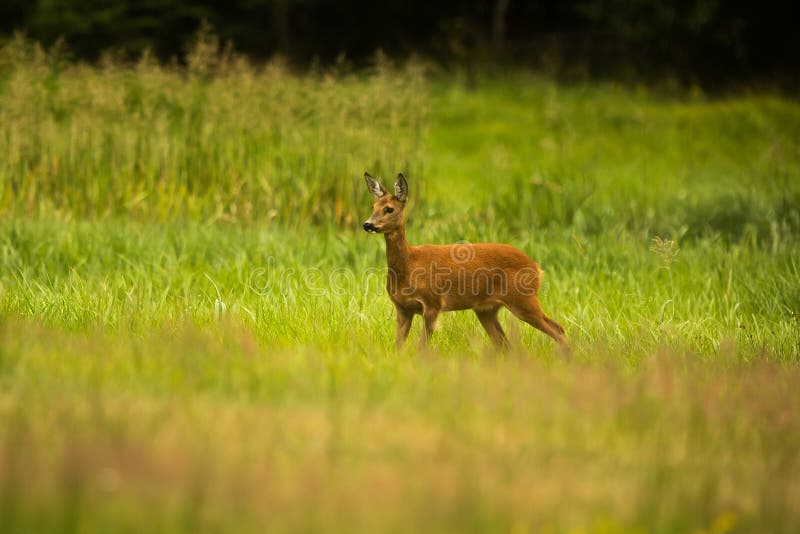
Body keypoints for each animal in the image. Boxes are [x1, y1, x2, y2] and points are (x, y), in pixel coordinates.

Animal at [362, 172, 568, 350]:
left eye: (389, 209)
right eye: (373, 207)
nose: (368, 224)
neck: (409, 264)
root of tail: (537, 268)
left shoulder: (433, 304)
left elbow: (422, 346)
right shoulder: (402, 309)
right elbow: (398, 346)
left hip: (523, 299)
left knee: (558, 329)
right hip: (486, 309)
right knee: (505, 343)